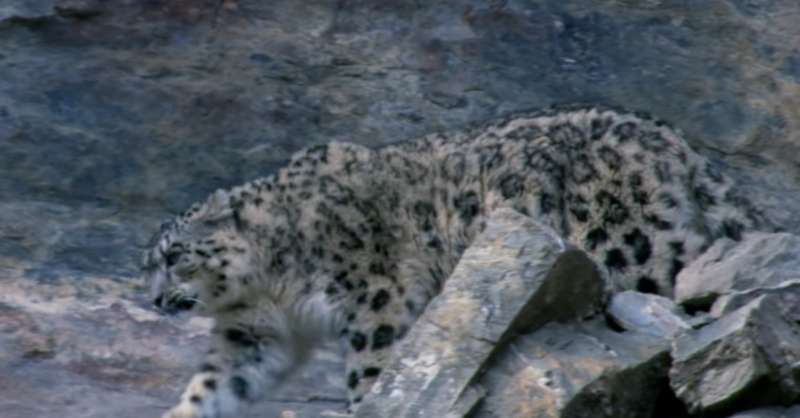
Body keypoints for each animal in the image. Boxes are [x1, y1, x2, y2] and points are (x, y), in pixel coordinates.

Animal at [141, 104, 769, 418]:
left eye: (175, 255)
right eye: (147, 265)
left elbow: (374, 362)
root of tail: (674, 142)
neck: (270, 288)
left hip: (631, 246)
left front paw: (372, 403)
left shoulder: (375, 296)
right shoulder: (254, 334)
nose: (153, 299)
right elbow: (215, 382)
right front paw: (183, 413)